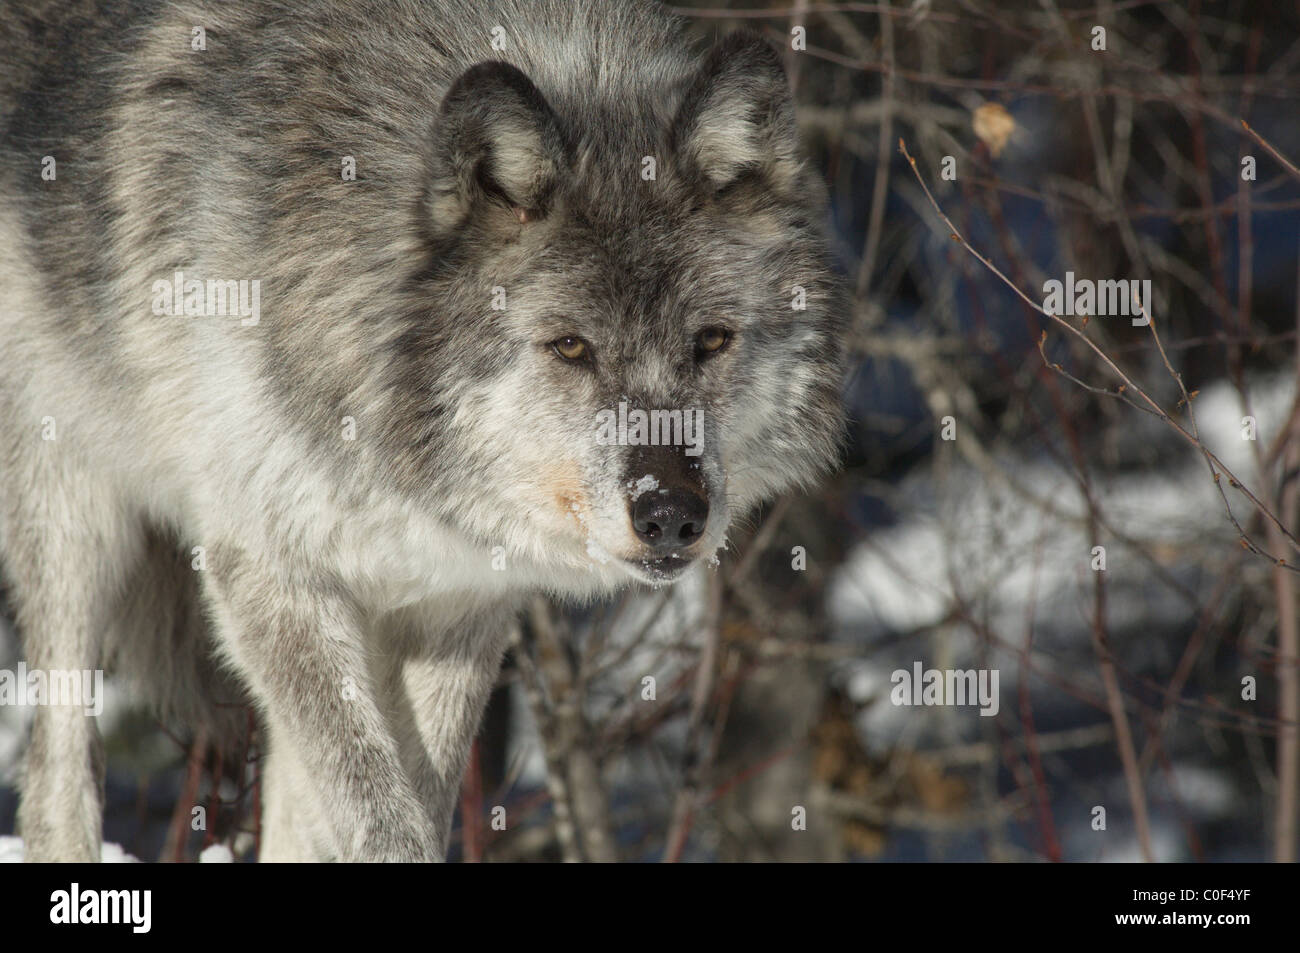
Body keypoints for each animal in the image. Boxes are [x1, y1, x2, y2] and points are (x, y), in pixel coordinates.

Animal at [0, 0, 845, 861]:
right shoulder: (272, 575)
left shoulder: (457, 605)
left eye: (710, 340)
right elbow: (381, 816)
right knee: (54, 775)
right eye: (571, 347)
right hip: (74, 523)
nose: (671, 513)